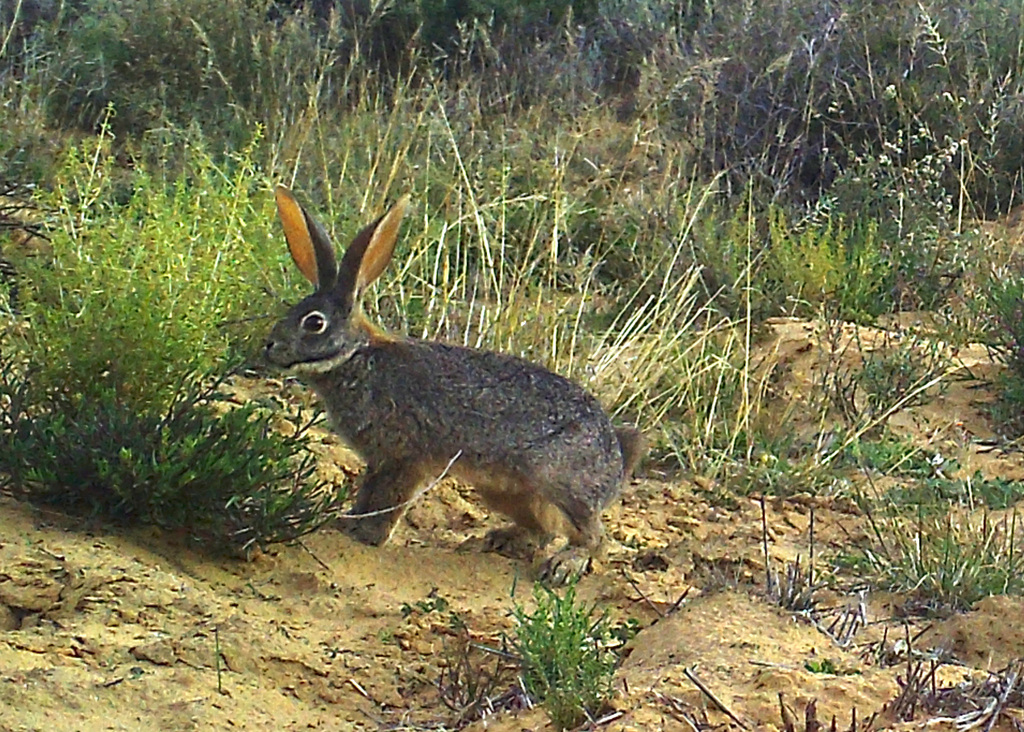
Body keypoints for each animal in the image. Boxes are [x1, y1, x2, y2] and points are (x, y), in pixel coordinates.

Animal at [264, 186, 644, 583]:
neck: (356, 356)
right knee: (542, 529)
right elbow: (368, 495)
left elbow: (387, 502)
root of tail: (616, 458)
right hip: (504, 491)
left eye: (314, 323)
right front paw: (347, 523)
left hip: (558, 481)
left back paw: (564, 565)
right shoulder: (379, 461)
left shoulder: (406, 458)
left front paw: (365, 535)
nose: (269, 346)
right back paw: (498, 539)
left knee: (593, 537)